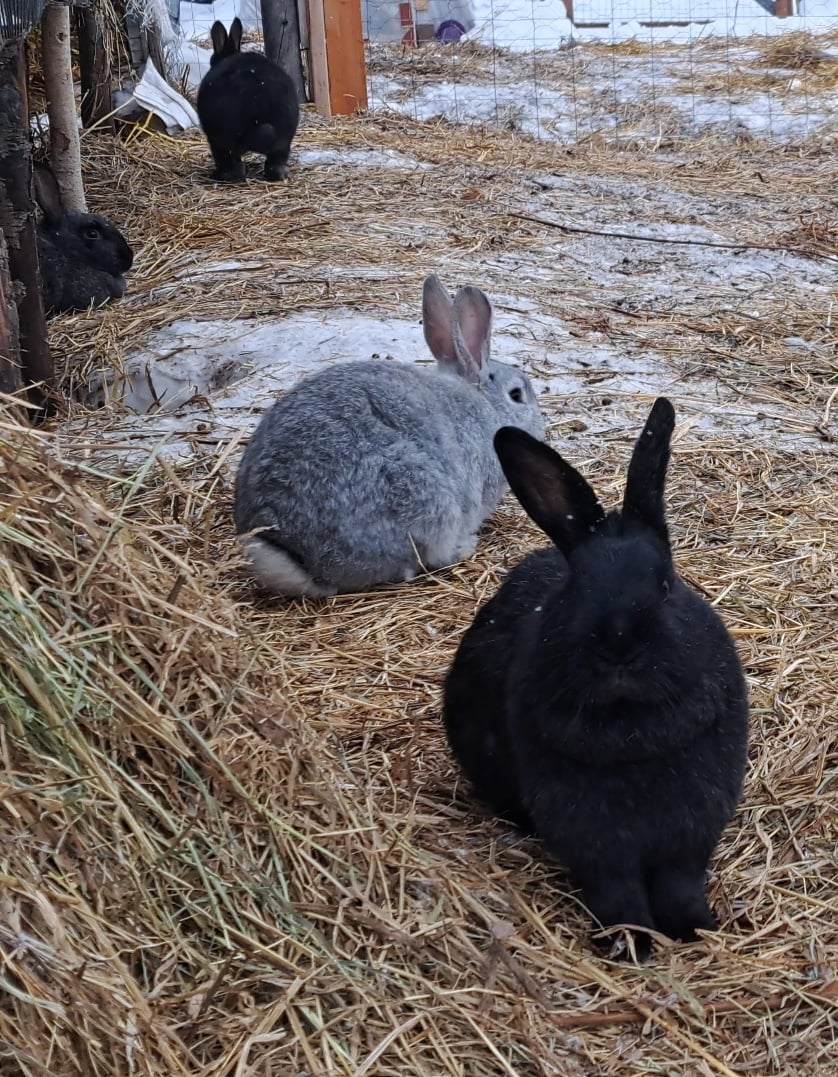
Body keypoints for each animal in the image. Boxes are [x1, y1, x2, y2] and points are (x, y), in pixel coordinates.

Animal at [234, 275, 546, 597]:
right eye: (517, 395)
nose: (540, 426)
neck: (485, 405)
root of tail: (302, 556)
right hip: (421, 495)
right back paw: (464, 547)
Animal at [442, 398, 749, 960]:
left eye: (666, 585)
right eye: (577, 588)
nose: (620, 646)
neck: (630, 727)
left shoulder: (690, 831)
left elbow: (680, 882)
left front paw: (693, 929)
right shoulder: (596, 842)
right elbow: (616, 890)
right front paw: (631, 941)